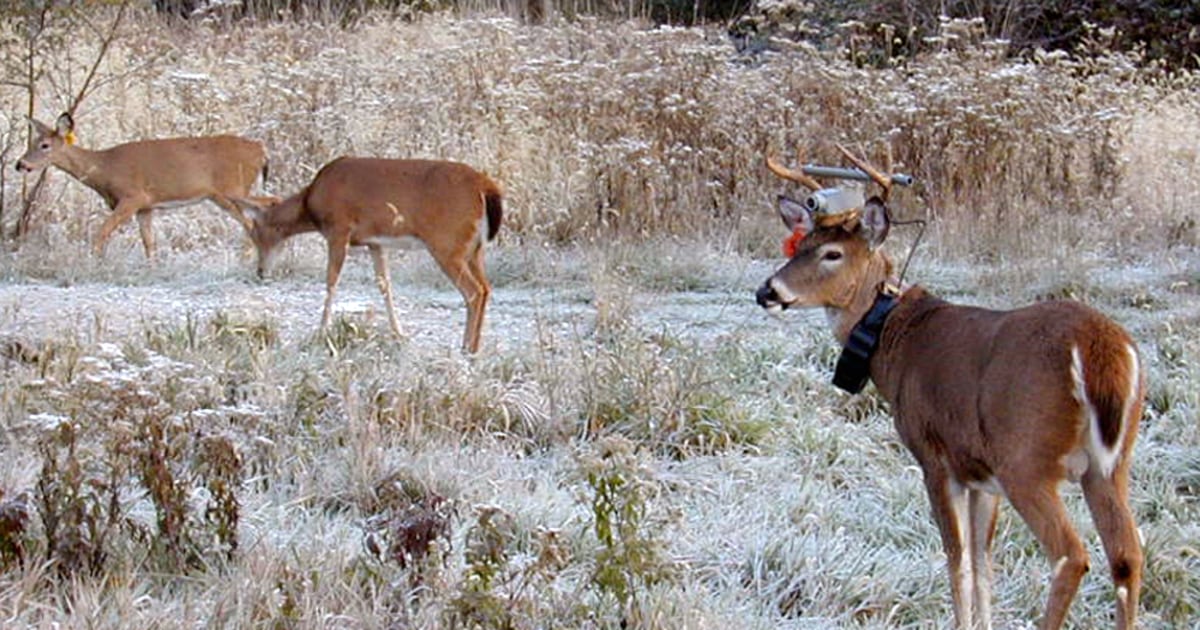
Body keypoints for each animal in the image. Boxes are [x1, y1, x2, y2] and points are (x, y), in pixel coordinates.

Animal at [14, 112, 270, 258]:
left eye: (45, 145)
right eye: (31, 142)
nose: (20, 164)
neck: (105, 168)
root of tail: (260, 151)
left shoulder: (132, 197)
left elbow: (103, 230)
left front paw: (93, 260)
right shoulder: (146, 206)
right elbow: (149, 243)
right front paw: (152, 268)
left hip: (231, 190)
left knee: (254, 218)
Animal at [234, 156, 503, 354]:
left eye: (256, 233)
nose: (260, 271)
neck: (312, 203)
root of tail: (485, 187)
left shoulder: (339, 229)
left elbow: (331, 281)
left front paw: (321, 332)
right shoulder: (375, 242)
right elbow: (384, 284)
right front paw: (399, 334)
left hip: (447, 244)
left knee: (473, 291)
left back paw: (467, 348)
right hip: (474, 250)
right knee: (485, 288)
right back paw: (473, 347)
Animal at [755, 146, 1144, 630]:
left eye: (832, 254)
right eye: (800, 245)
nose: (767, 291)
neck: (894, 342)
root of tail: (1099, 348)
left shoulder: (935, 456)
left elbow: (956, 558)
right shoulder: (980, 474)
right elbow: (982, 561)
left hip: (1026, 459)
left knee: (1072, 555)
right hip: (1110, 466)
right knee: (1127, 555)